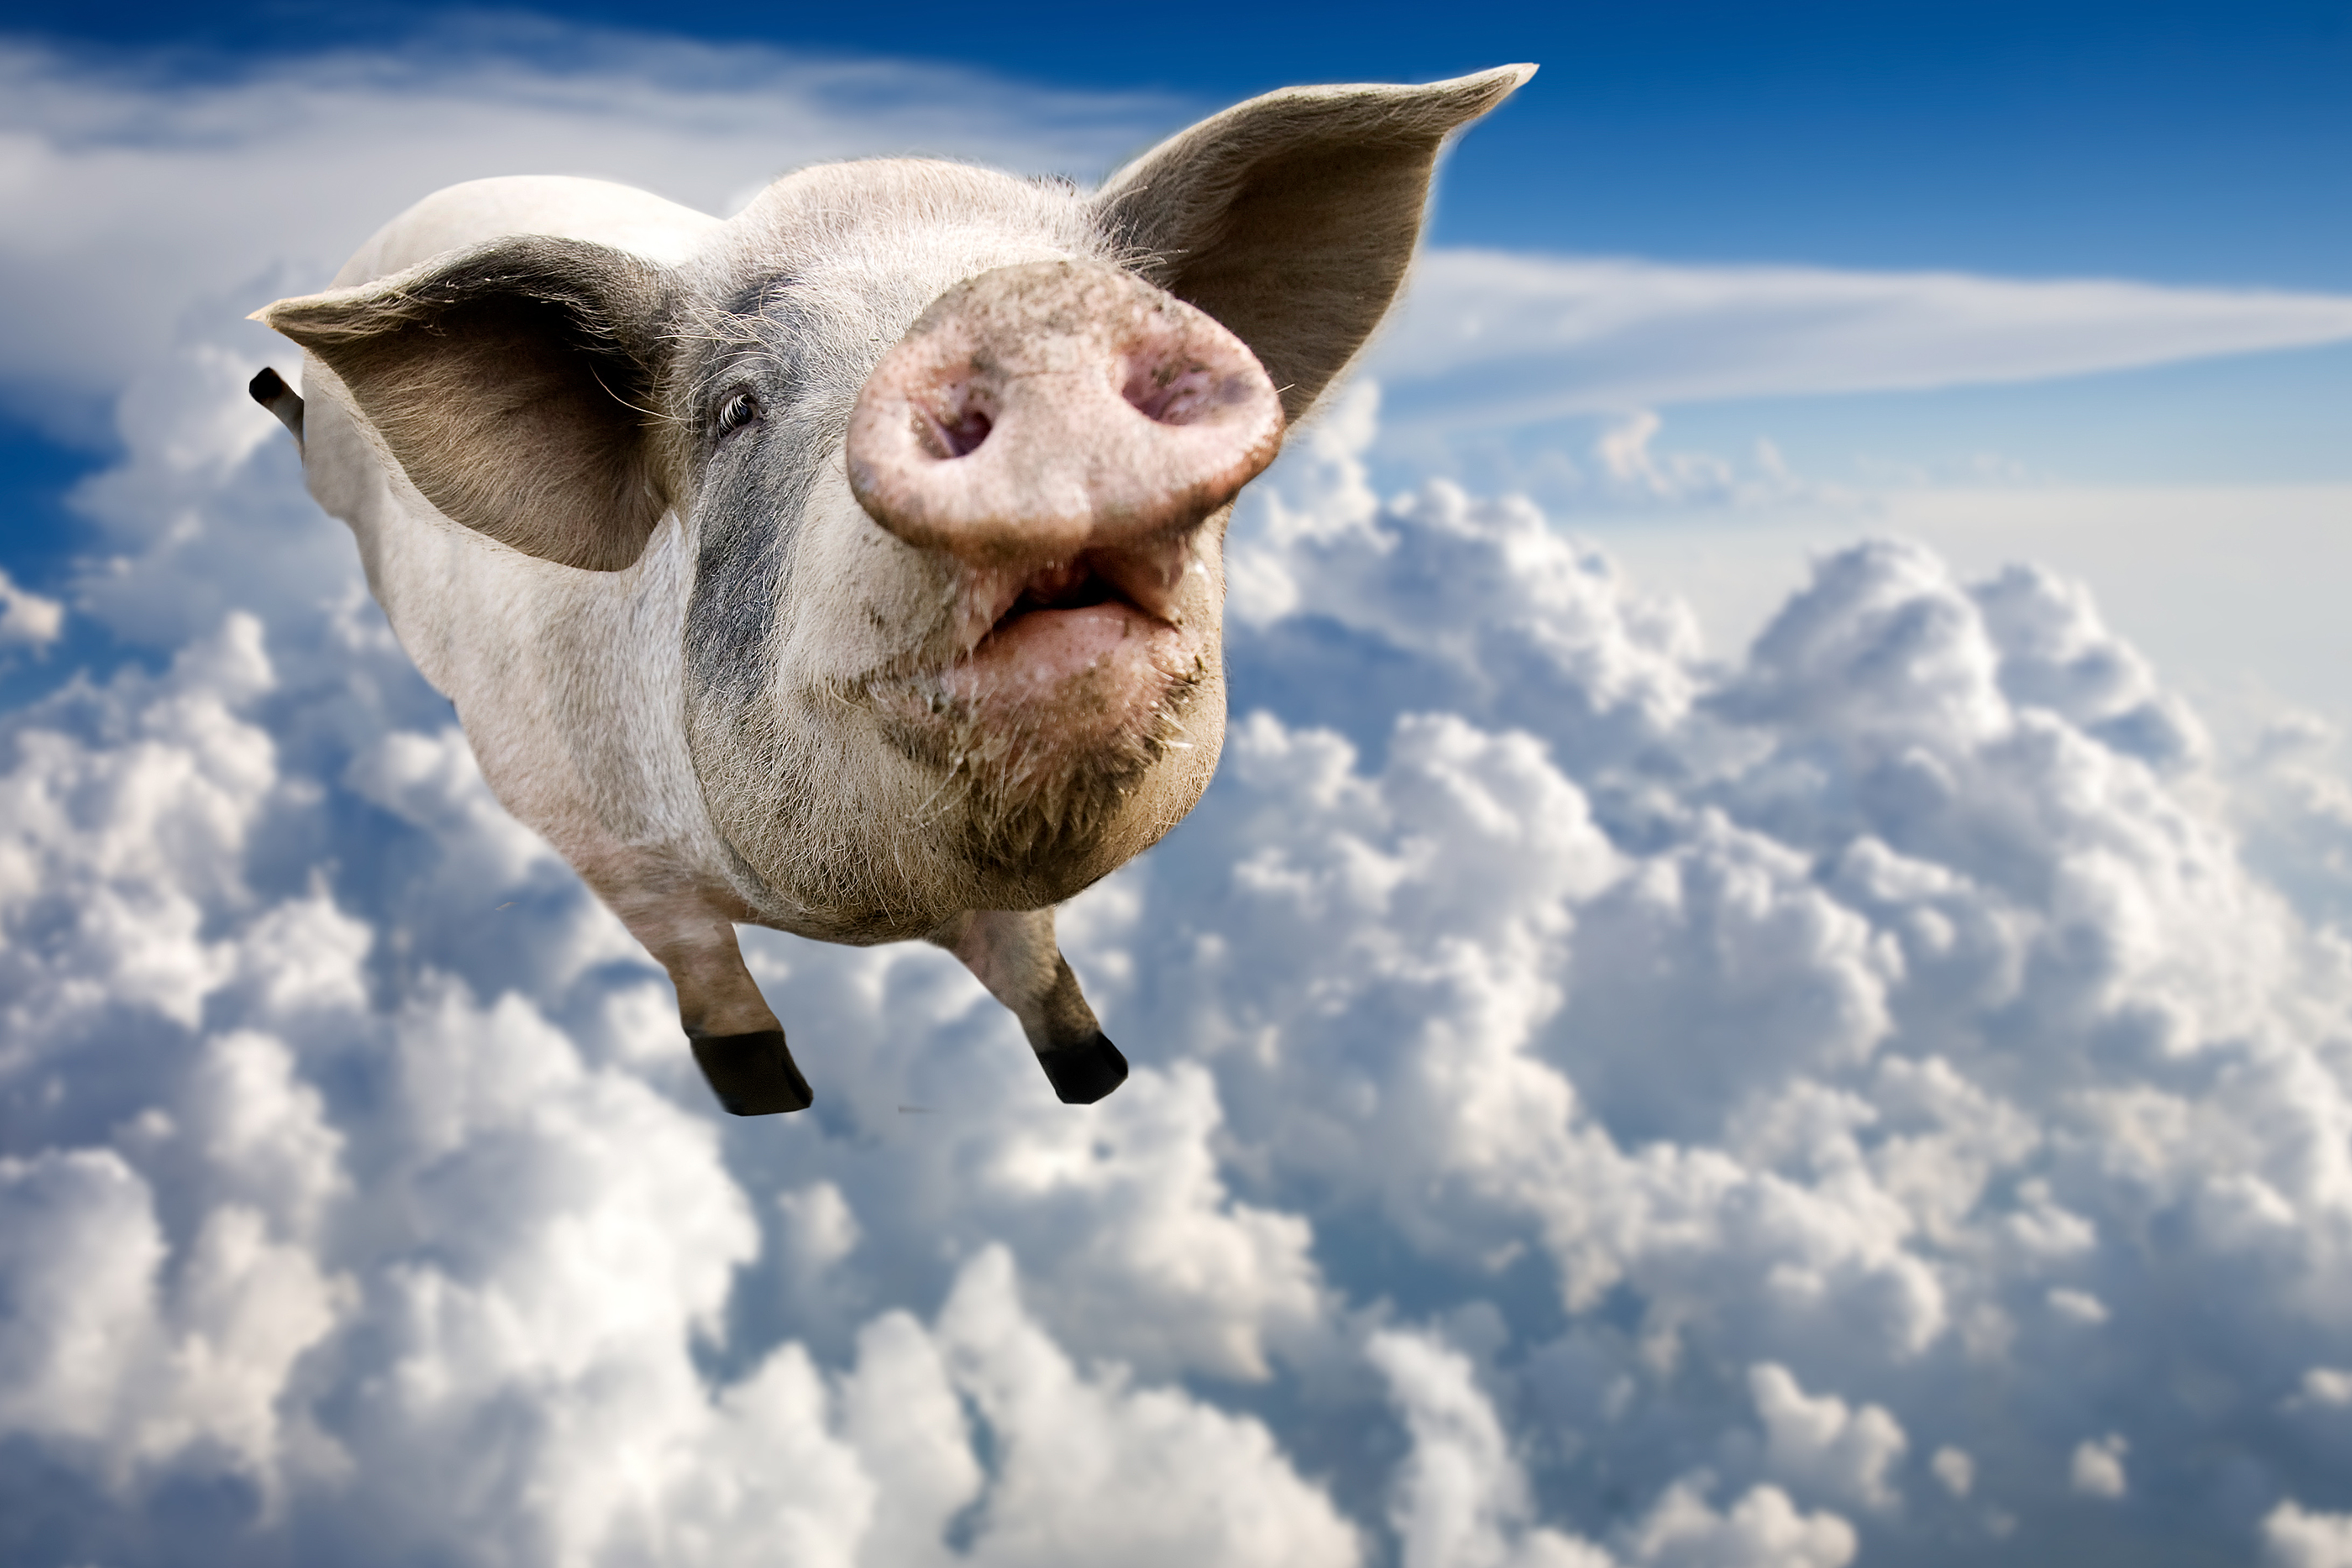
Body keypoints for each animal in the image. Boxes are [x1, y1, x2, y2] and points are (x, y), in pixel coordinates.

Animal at [251, 66, 1532, 1116]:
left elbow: (1031, 955)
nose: (1022, 311)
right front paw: (772, 1100)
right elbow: (695, 959)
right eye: (736, 407)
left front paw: (1098, 1071)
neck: (866, 915)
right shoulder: (580, 822)